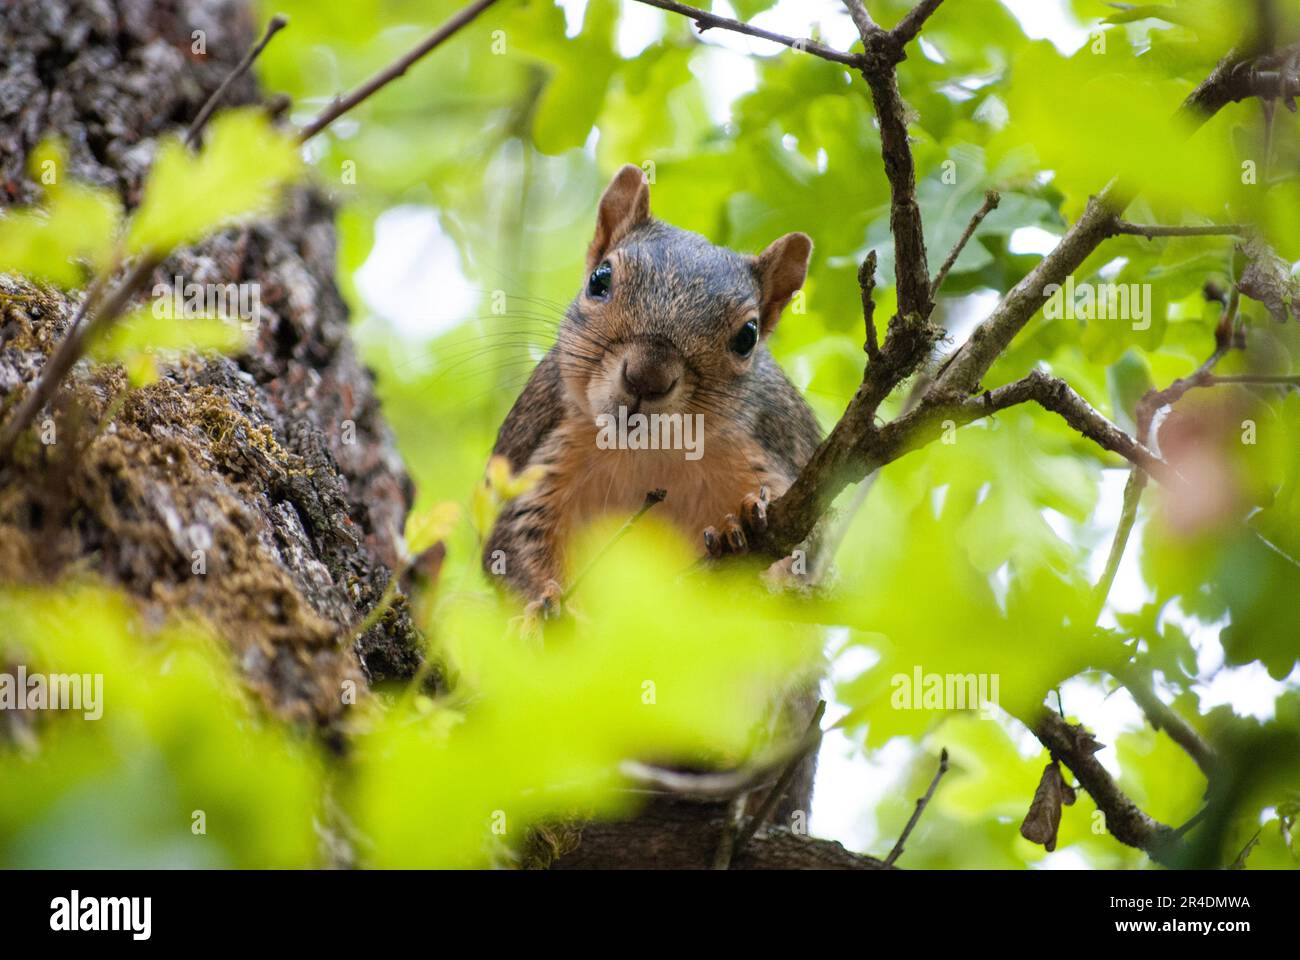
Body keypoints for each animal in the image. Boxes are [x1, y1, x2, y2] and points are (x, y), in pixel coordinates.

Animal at [482, 164, 824, 617]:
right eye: (600, 279)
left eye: (748, 336)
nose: (647, 377)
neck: (650, 451)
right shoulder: (538, 456)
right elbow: (514, 545)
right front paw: (542, 607)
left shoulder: (775, 449)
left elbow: (803, 553)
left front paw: (746, 521)